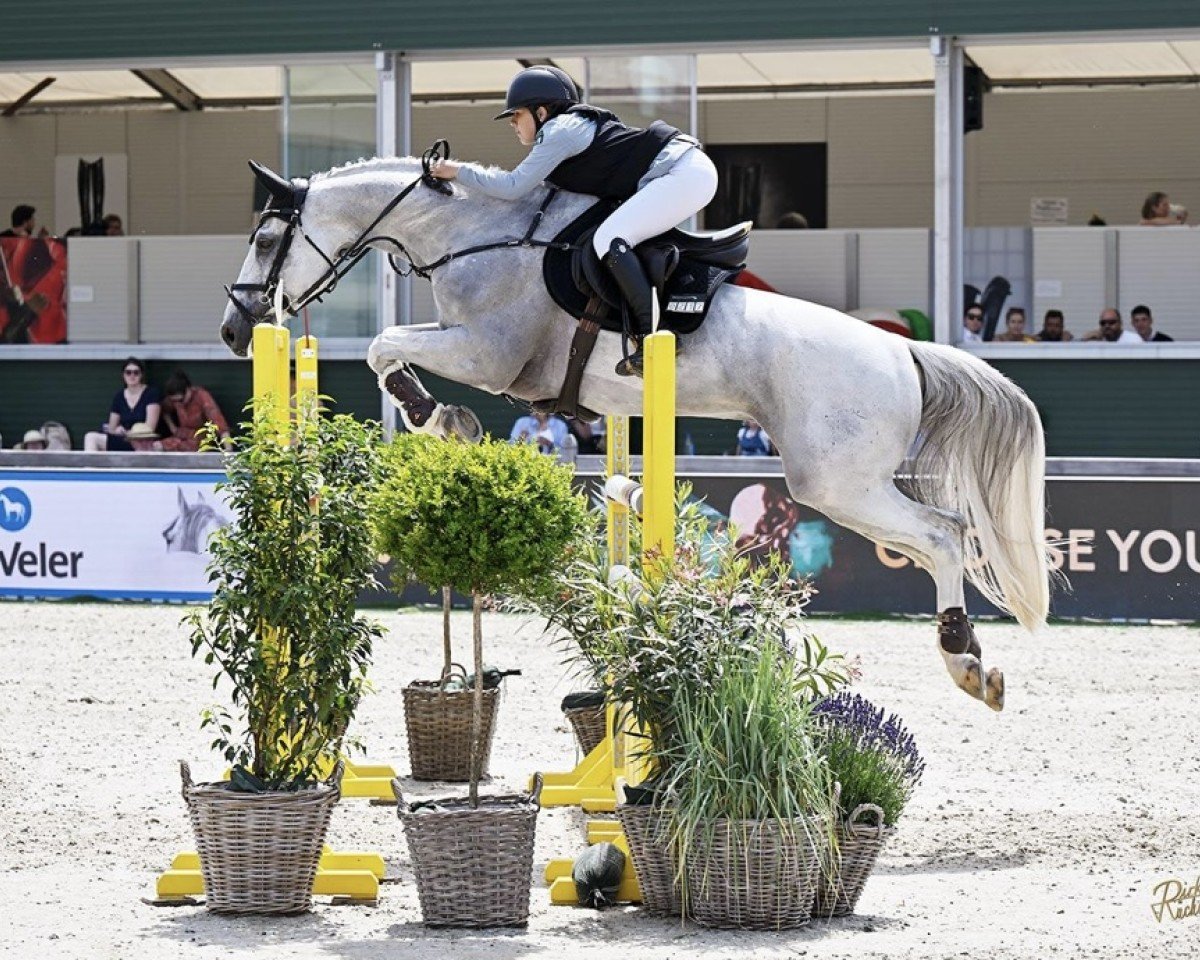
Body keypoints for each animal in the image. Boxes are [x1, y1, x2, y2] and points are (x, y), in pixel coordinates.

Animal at [220, 155, 1053, 712]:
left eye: (264, 241)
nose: (234, 329)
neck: (474, 235)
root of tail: (901, 351)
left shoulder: (487, 354)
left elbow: (383, 344)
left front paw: (437, 417)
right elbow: (387, 343)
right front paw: (441, 418)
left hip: (836, 482)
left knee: (943, 535)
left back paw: (964, 659)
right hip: (846, 483)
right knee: (945, 535)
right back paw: (975, 661)